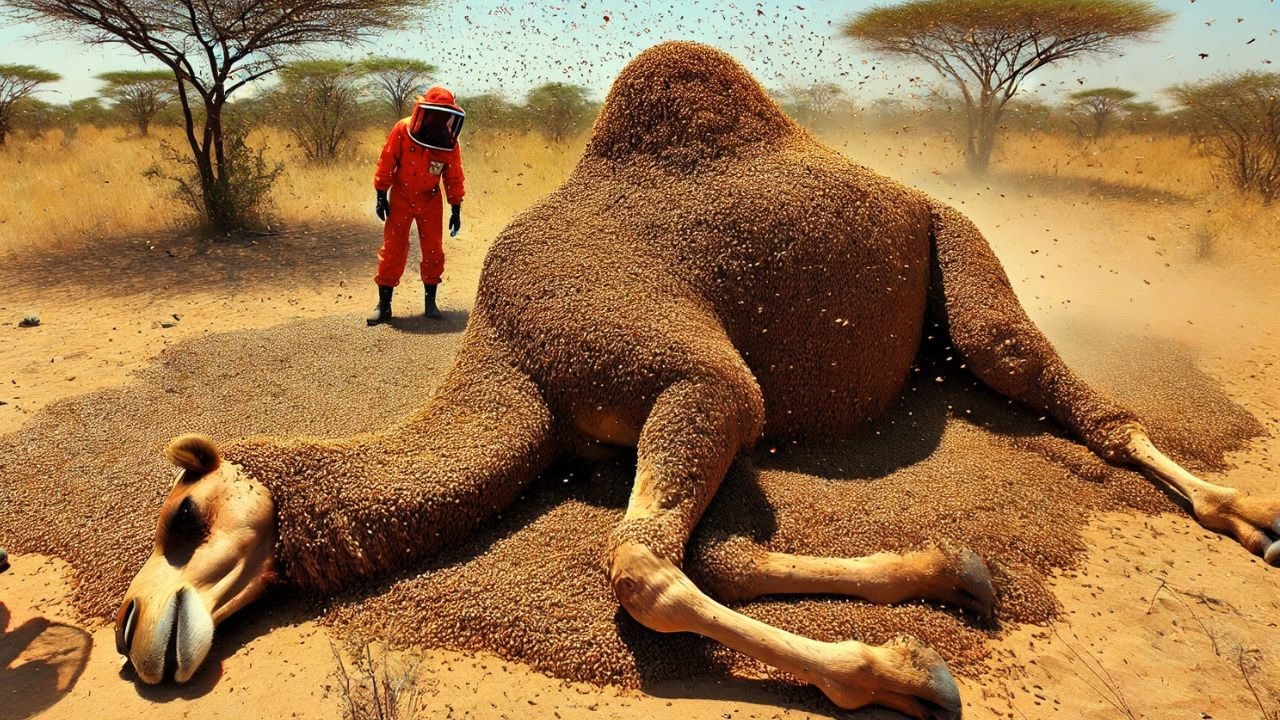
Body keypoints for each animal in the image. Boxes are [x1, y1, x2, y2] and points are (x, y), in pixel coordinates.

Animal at [114, 42, 1279, 718]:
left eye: (181, 517)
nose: (130, 632)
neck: (510, 357)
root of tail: (901, 184)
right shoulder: (640, 432)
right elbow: (719, 555)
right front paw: (949, 571)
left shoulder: (700, 382)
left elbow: (647, 570)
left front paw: (904, 674)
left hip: (958, 250)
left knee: (1060, 384)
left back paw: (1246, 515)